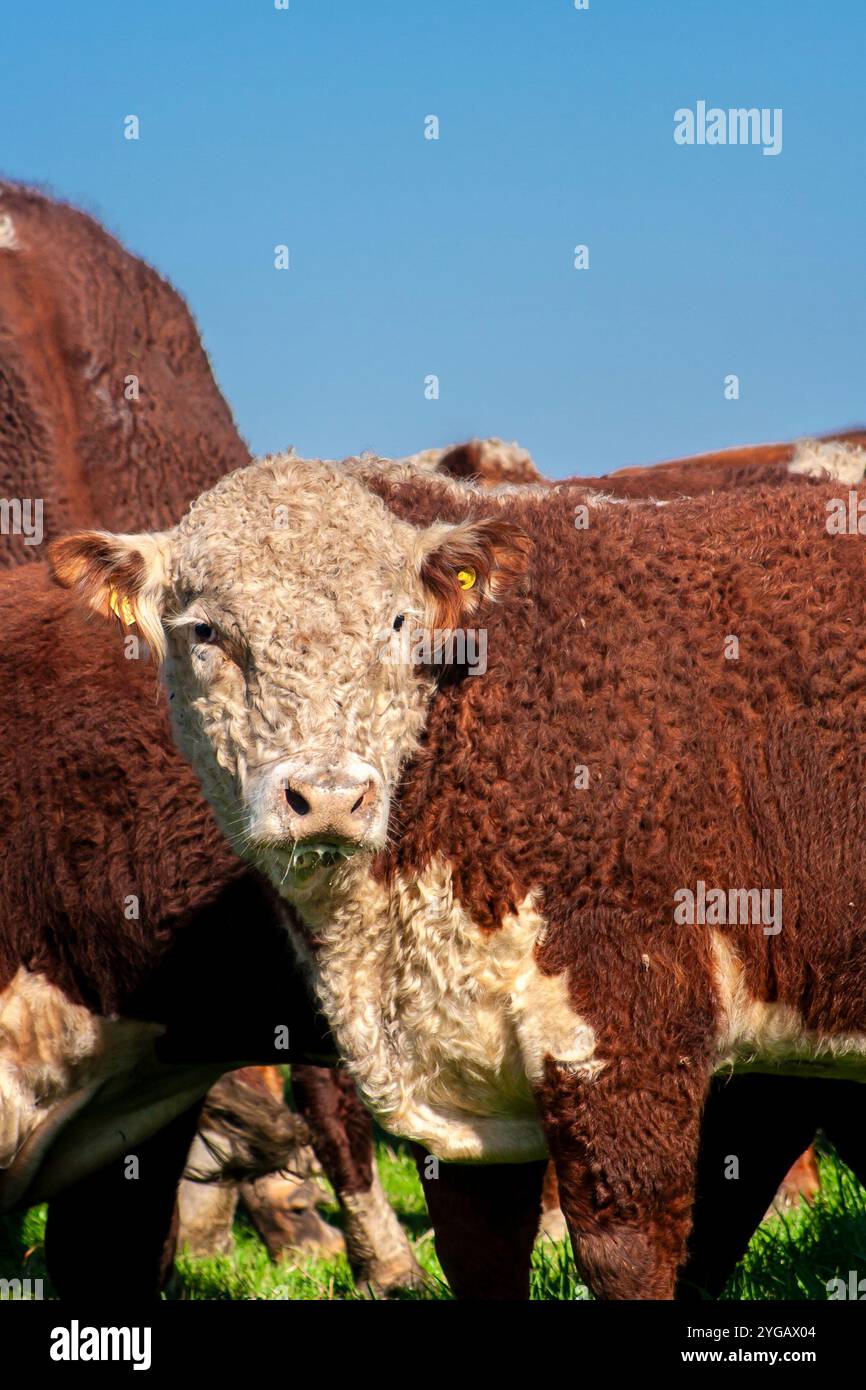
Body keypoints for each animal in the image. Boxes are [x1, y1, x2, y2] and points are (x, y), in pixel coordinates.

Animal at [52, 443, 866, 1299]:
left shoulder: (626, 1019)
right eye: (206, 630)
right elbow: (476, 1252)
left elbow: (627, 1249)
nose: (330, 798)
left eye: (398, 622)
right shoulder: (459, 1090)